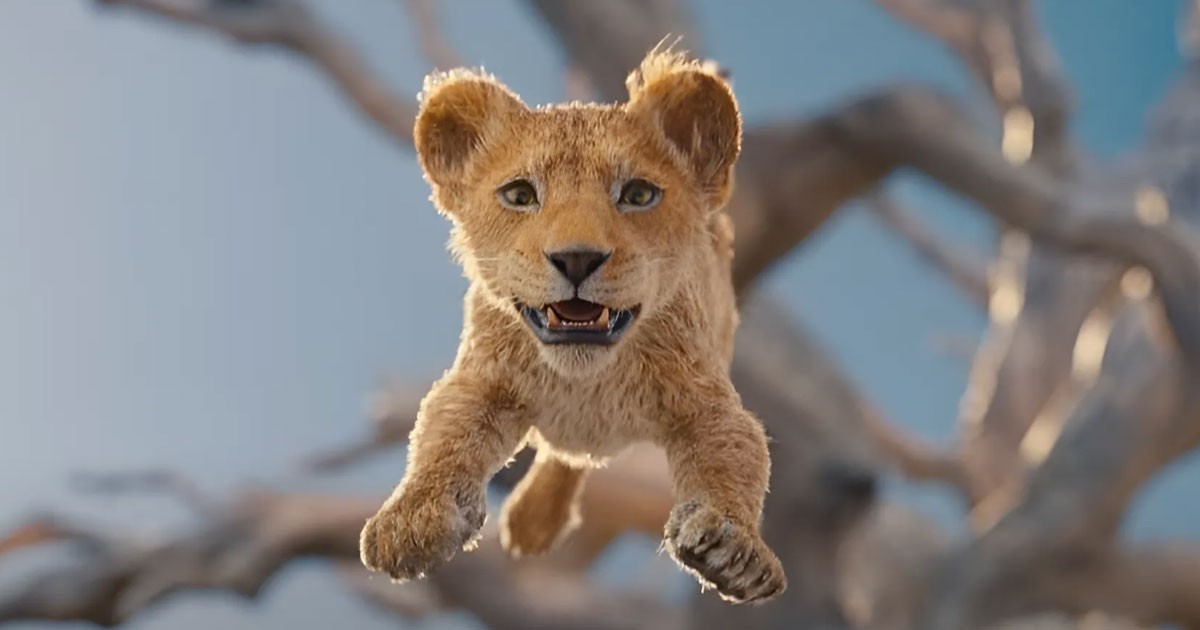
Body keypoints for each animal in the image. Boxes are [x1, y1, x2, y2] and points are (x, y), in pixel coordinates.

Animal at [359, 49, 786, 604]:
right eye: (520, 195)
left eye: (638, 194)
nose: (577, 259)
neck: (586, 380)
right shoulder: (481, 382)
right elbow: (442, 438)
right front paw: (411, 521)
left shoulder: (708, 402)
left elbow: (735, 455)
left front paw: (734, 549)